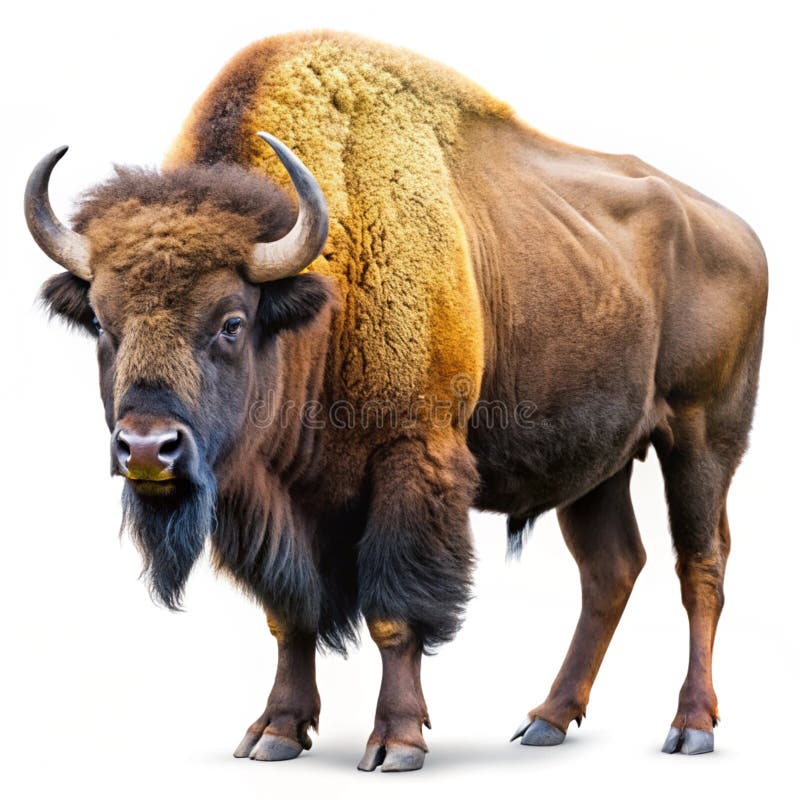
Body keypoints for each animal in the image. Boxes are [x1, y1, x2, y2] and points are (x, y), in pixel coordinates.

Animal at [25, 31, 767, 771]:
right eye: (101, 322)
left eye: (232, 321)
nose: (148, 448)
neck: (320, 295)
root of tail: (740, 234)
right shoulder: (271, 500)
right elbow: (289, 615)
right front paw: (275, 733)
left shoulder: (414, 462)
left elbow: (394, 613)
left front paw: (396, 742)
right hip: (597, 466)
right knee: (611, 569)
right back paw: (547, 720)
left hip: (702, 440)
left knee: (701, 565)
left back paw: (690, 727)